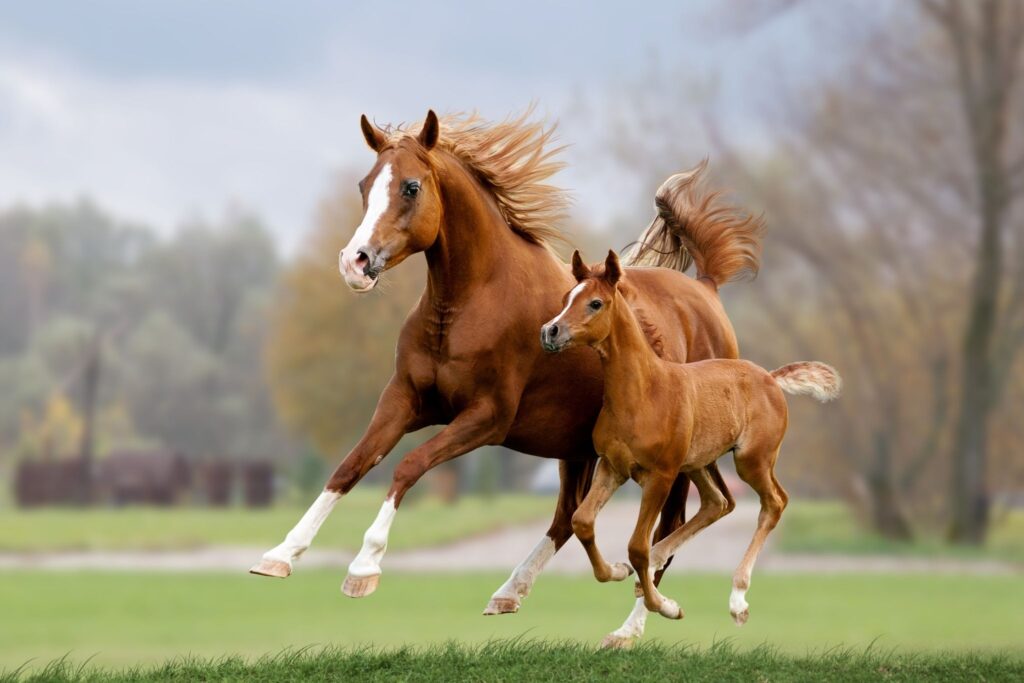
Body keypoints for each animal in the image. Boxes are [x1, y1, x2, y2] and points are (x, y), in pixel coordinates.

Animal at [250, 109, 764, 646]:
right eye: (365, 185)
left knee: (669, 526)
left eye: (411, 186)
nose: (355, 262)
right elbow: (350, 466)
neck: (470, 302)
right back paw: (511, 591)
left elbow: (408, 466)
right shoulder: (404, 401)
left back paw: (631, 626)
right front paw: (280, 555)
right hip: (577, 448)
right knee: (568, 518)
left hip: (674, 459)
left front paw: (364, 568)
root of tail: (706, 291)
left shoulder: (486, 418)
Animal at [541, 249, 841, 624]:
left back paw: (737, 598)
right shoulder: (612, 468)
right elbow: (582, 522)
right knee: (718, 502)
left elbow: (636, 546)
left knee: (774, 502)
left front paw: (665, 606)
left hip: (750, 460)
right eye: (567, 298)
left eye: (595, 303)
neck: (643, 392)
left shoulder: (661, 476)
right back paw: (653, 569)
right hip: (698, 463)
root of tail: (771, 378)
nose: (550, 331)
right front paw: (618, 571)